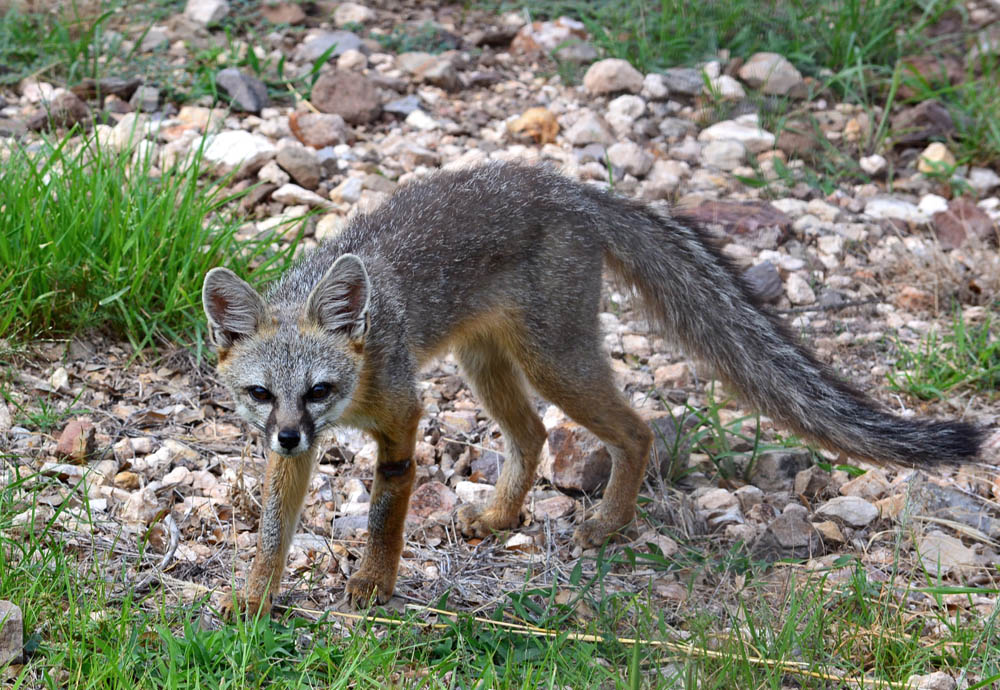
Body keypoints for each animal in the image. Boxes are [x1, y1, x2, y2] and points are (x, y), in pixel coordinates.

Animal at [202, 161, 981, 616]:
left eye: (320, 388)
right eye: (262, 396)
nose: (289, 432)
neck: (357, 385)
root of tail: (574, 190)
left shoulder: (402, 415)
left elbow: (386, 514)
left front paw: (373, 583)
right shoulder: (294, 454)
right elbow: (271, 531)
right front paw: (254, 597)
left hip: (556, 365)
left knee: (633, 429)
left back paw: (608, 523)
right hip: (490, 366)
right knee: (535, 434)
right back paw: (501, 516)